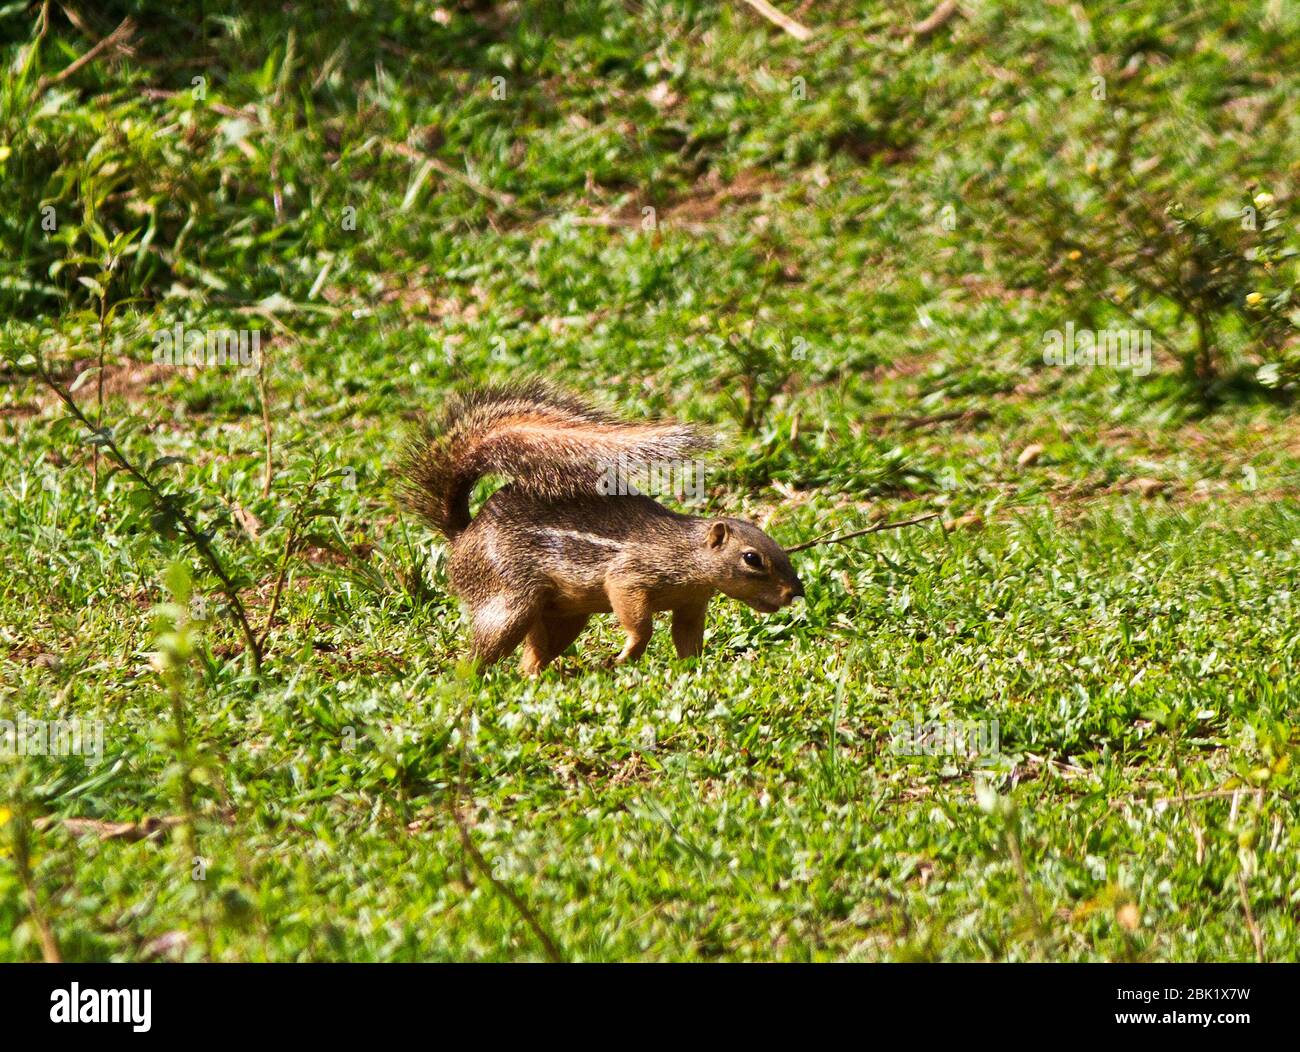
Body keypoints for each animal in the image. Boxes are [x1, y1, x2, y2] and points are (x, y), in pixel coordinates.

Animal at [398, 381, 804, 674]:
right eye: (752, 559)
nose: (794, 594)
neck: (687, 551)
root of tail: (462, 535)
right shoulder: (631, 576)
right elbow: (639, 621)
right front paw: (627, 656)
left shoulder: (691, 603)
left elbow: (687, 639)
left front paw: (694, 670)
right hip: (510, 601)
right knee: (482, 654)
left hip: (563, 615)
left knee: (534, 655)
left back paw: (537, 678)